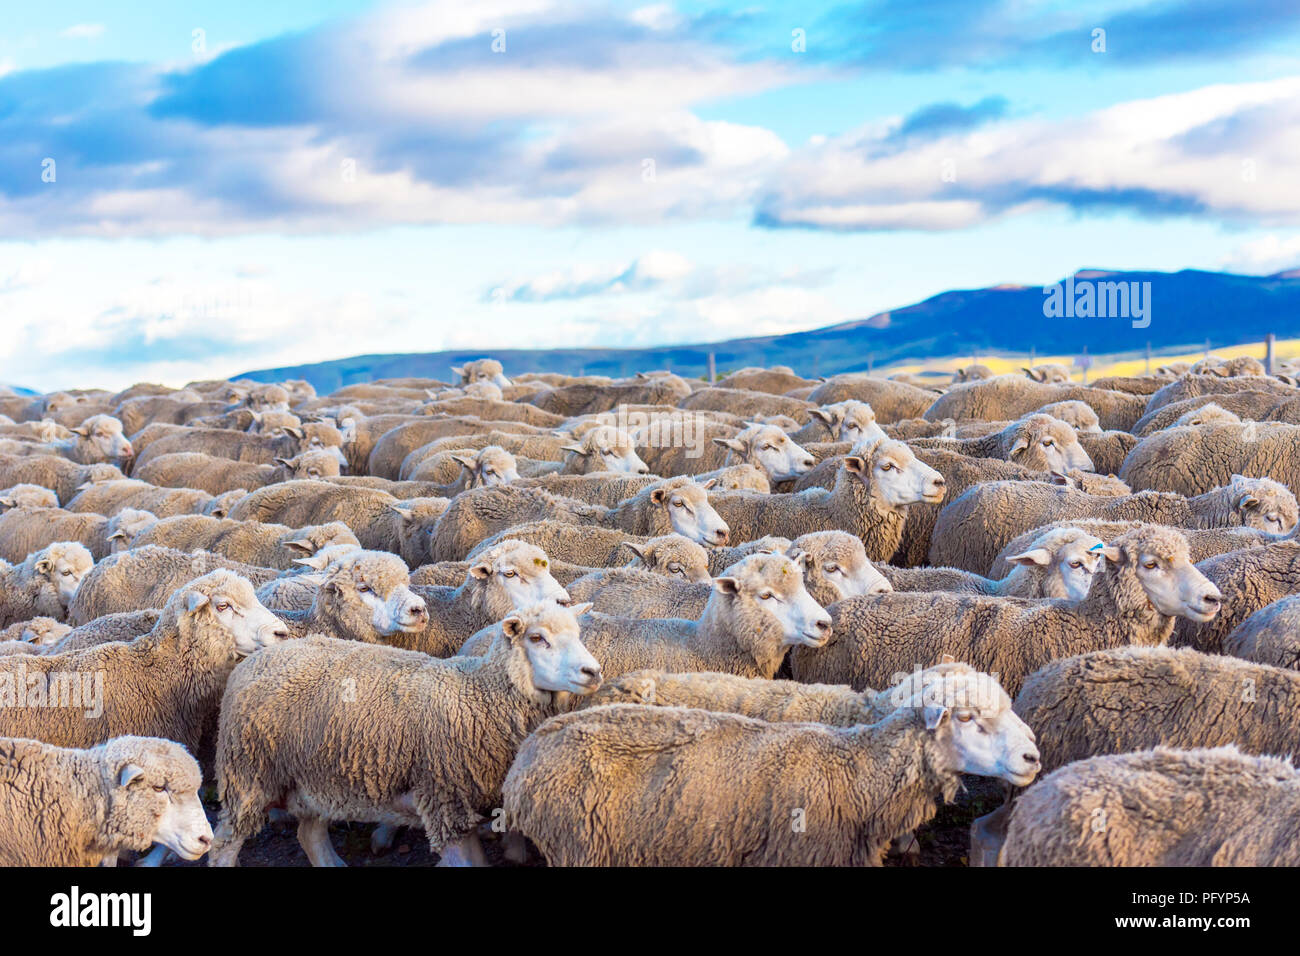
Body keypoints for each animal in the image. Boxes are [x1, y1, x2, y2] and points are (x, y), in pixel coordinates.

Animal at [210, 601, 601, 868]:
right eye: (537, 638)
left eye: (579, 635)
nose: (593, 672)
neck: (477, 694)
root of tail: (257, 658)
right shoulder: (444, 801)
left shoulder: (460, 808)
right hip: (248, 773)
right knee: (225, 842)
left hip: (313, 776)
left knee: (310, 834)